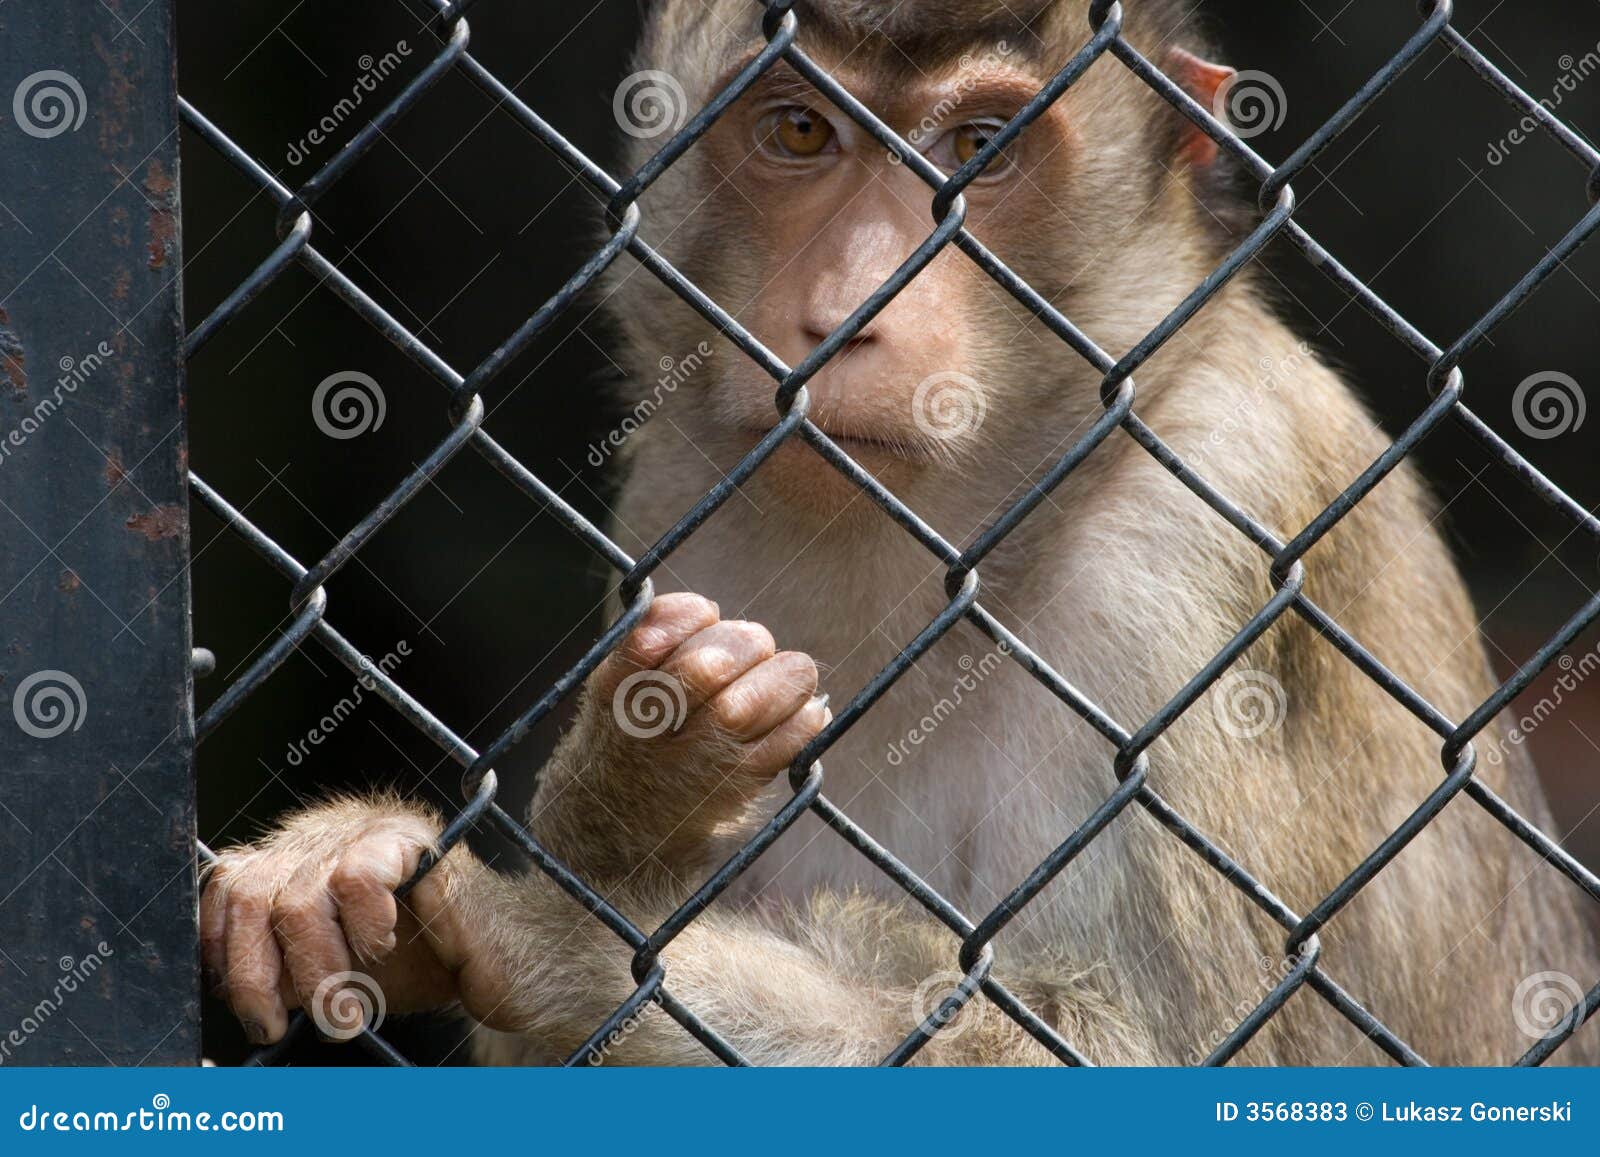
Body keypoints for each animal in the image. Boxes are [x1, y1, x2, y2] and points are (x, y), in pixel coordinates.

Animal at [201, 0, 1600, 1065]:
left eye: (984, 147)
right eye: (801, 130)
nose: (853, 305)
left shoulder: (1214, 531)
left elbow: (1129, 1045)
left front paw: (571, 904)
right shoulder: (677, 494)